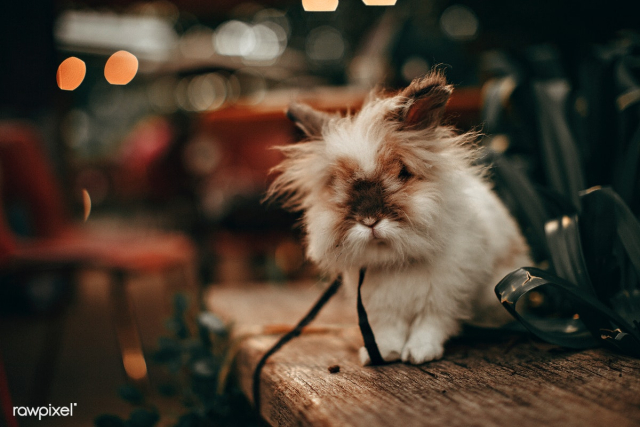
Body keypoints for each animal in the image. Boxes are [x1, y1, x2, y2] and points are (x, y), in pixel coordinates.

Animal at [267, 72, 532, 365]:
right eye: (336, 183)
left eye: (403, 173)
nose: (370, 219)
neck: (395, 258)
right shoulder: (383, 308)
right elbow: (389, 330)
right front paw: (383, 353)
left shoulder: (444, 297)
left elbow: (430, 325)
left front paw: (420, 353)